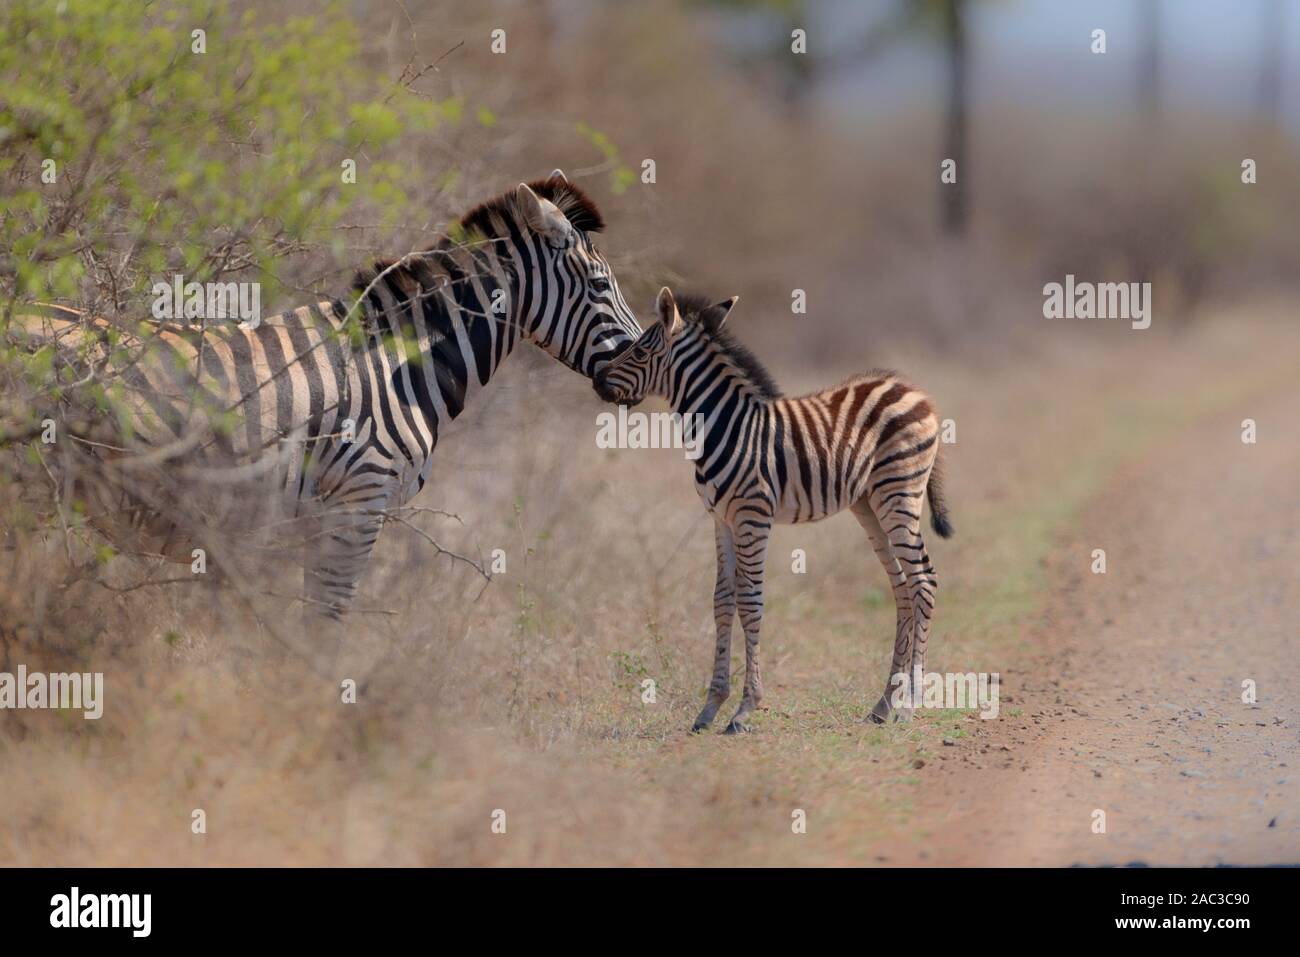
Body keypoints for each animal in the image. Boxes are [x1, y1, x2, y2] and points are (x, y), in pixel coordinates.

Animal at [593, 287, 953, 732]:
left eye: (641, 350)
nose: (597, 379)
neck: (723, 427)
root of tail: (915, 390)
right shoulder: (721, 519)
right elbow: (722, 600)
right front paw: (710, 708)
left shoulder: (753, 516)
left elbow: (750, 602)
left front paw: (745, 709)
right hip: (869, 503)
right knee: (903, 587)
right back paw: (884, 703)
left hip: (900, 492)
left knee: (923, 580)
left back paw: (910, 703)